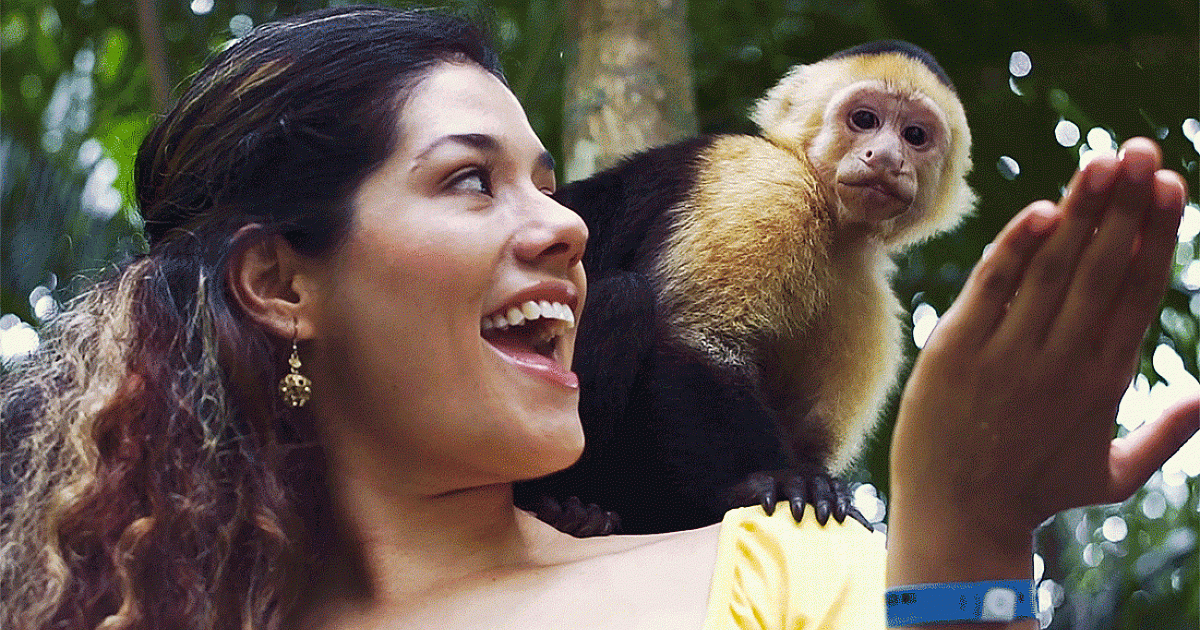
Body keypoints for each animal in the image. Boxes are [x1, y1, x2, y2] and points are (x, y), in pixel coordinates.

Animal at [514, 41, 975, 536]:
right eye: (864, 119)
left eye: (915, 135)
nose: (887, 158)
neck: (832, 219)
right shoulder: (767, 189)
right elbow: (697, 341)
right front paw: (776, 481)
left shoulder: (864, 291)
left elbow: (808, 435)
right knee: (623, 297)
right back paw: (562, 504)